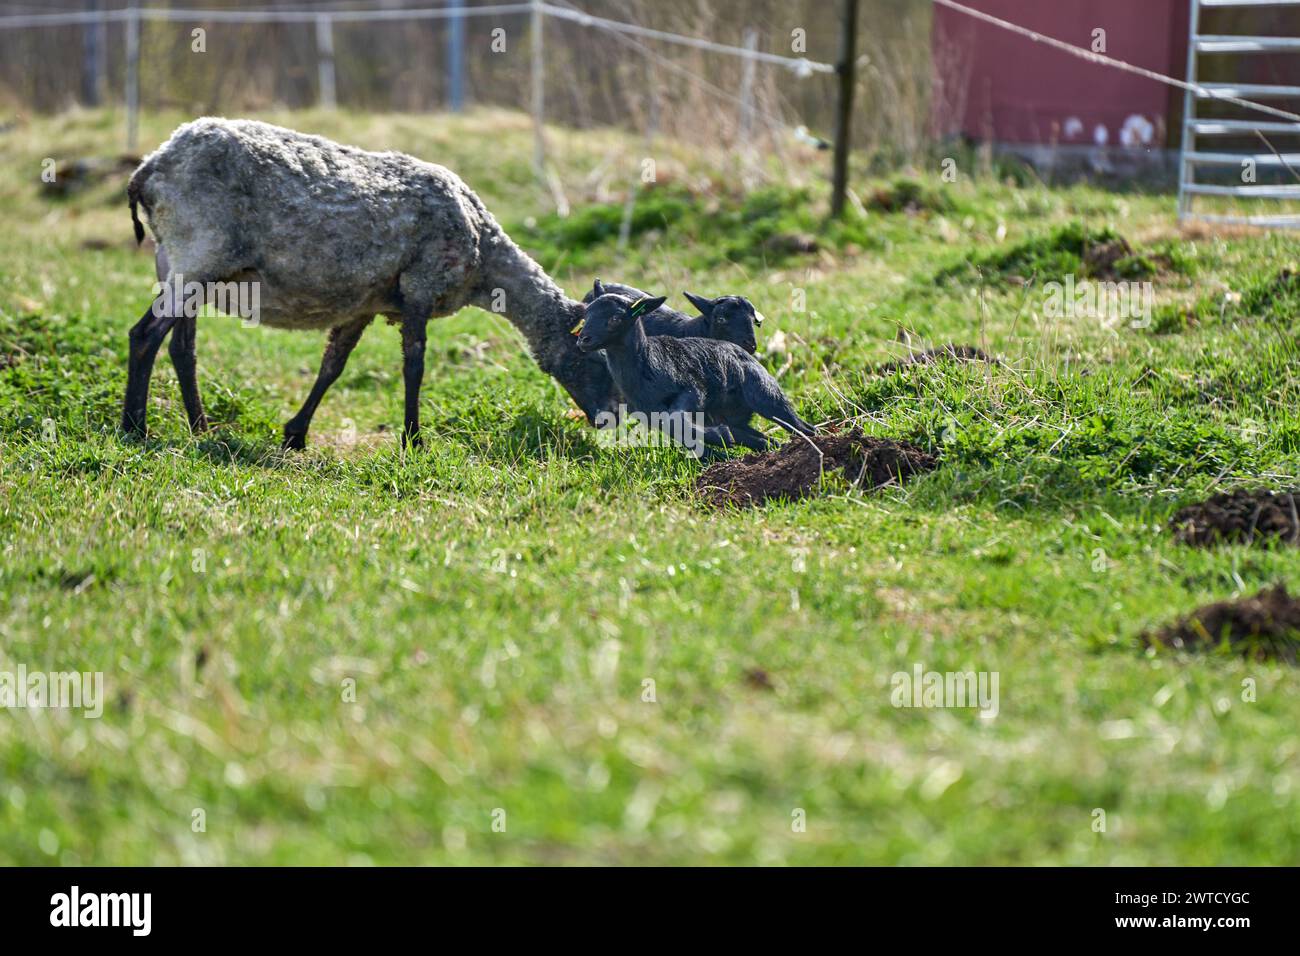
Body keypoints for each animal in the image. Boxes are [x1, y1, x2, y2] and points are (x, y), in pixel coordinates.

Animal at [122, 117, 615, 448]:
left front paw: (295, 433)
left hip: (175, 261)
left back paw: (200, 426)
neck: (484, 260)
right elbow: (414, 365)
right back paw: (134, 427)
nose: (609, 418)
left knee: (181, 347)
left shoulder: (366, 304)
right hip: (199, 251)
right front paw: (413, 439)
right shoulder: (421, 283)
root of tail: (148, 168)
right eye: (597, 357)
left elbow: (332, 366)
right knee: (145, 334)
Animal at [574, 292, 815, 456]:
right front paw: (716, 447)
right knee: (758, 438)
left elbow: (675, 419)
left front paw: (718, 438)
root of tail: (738, 349)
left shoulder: (692, 391)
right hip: (731, 415)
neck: (646, 361)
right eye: (585, 316)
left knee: (799, 425)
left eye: (615, 318)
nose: (583, 340)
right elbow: (676, 429)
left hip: (765, 394)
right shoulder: (649, 414)